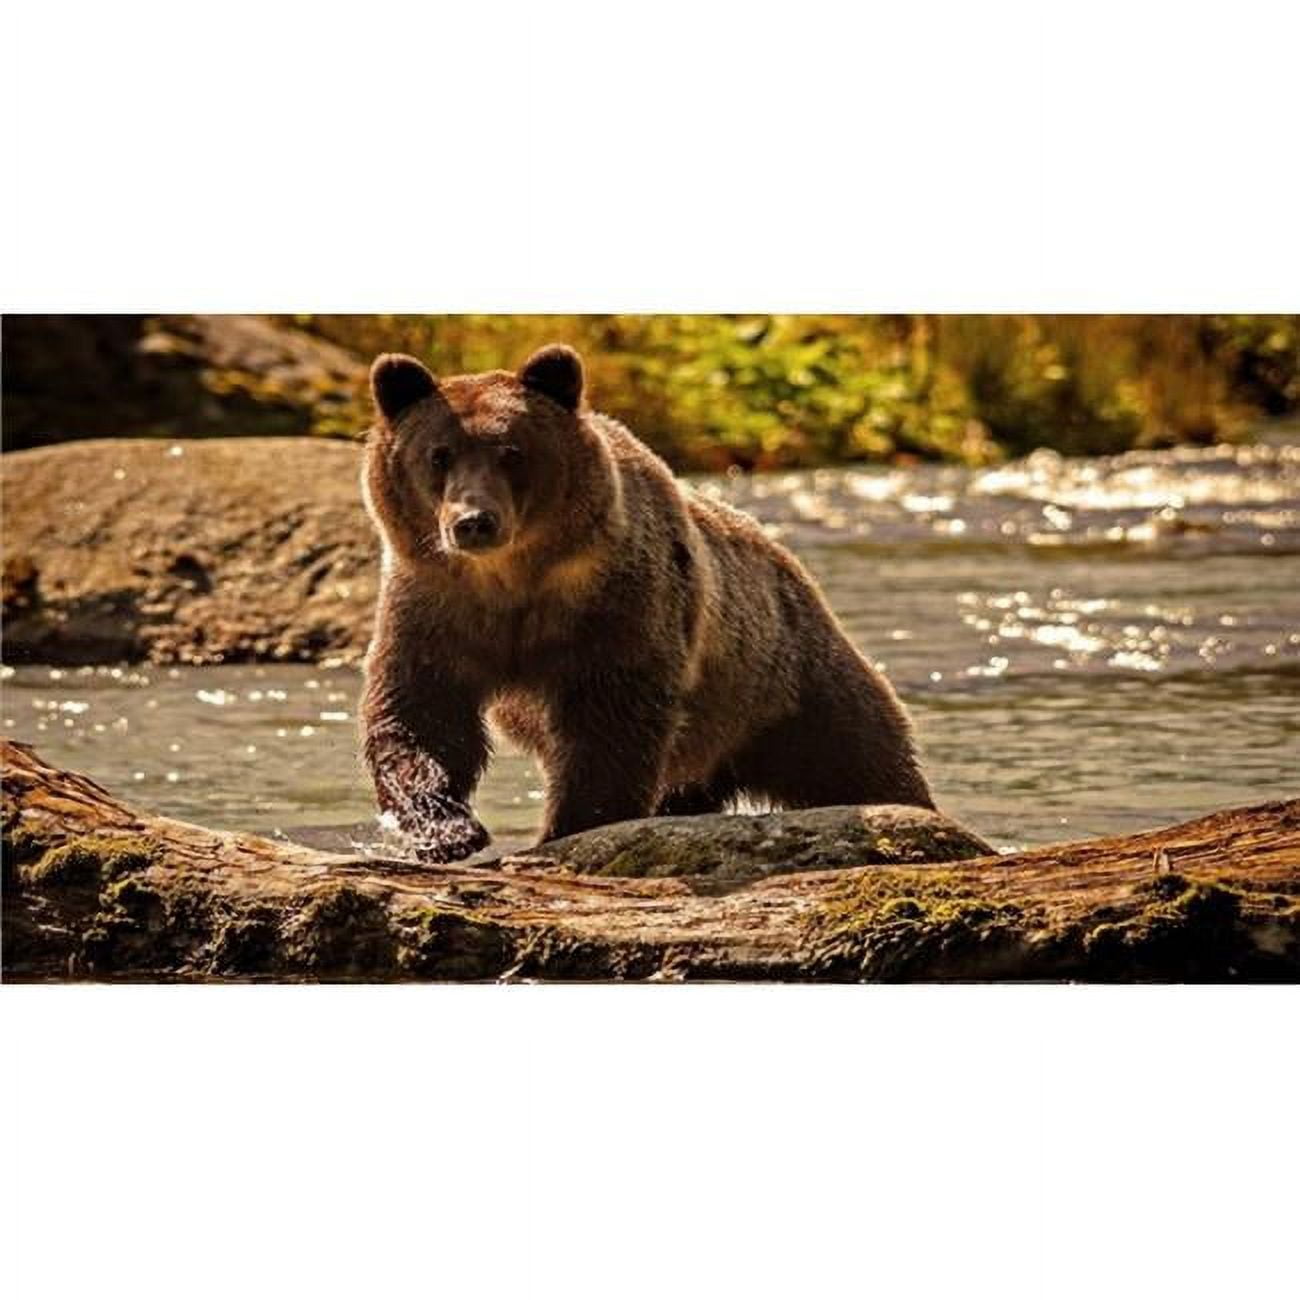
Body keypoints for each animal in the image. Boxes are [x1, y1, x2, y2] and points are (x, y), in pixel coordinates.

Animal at [360, 343, 934, 861]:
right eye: (438, 454)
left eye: (512, 452)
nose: (474, 521)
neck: (513, 580)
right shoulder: (435, 607)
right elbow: (420, 714)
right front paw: (447, 830)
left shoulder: (617, 608)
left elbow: (611, 725)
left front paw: (569, 827)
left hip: (786, 683)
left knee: (859, 757)